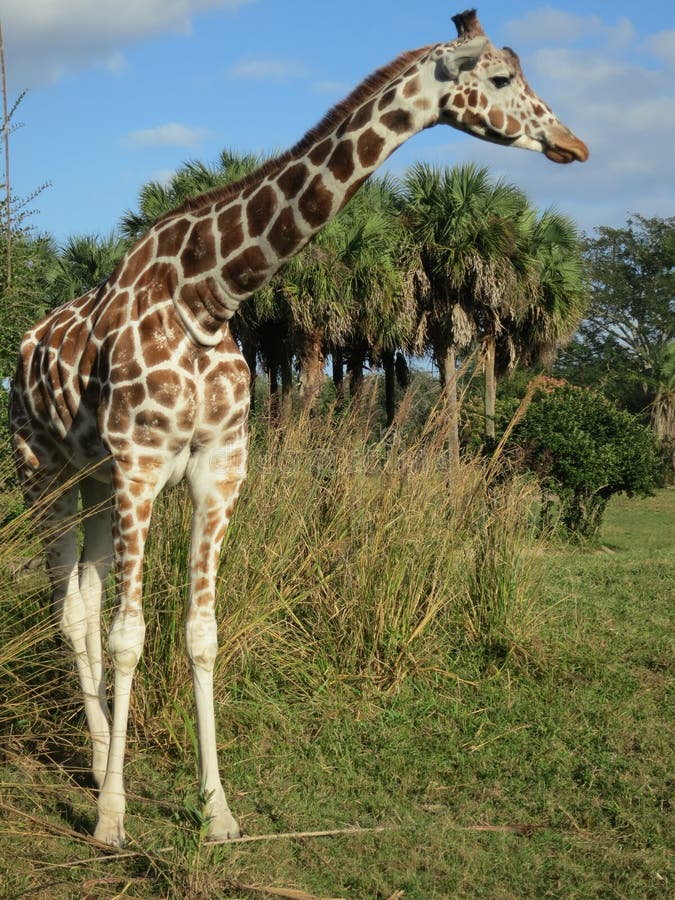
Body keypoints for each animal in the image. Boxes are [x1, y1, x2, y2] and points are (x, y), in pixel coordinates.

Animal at [10, 8, 588, 848]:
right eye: (502, 78)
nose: (572, 145)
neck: (206, 294)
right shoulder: (143, 461)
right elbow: (129, 637)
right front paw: (113, 820)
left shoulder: (217, 468)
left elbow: (199, 634)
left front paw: (216, 811)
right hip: (42, 473)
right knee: (71, 610)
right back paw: (96, 774)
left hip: (93, 482)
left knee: (82, 598)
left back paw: (92, 754)